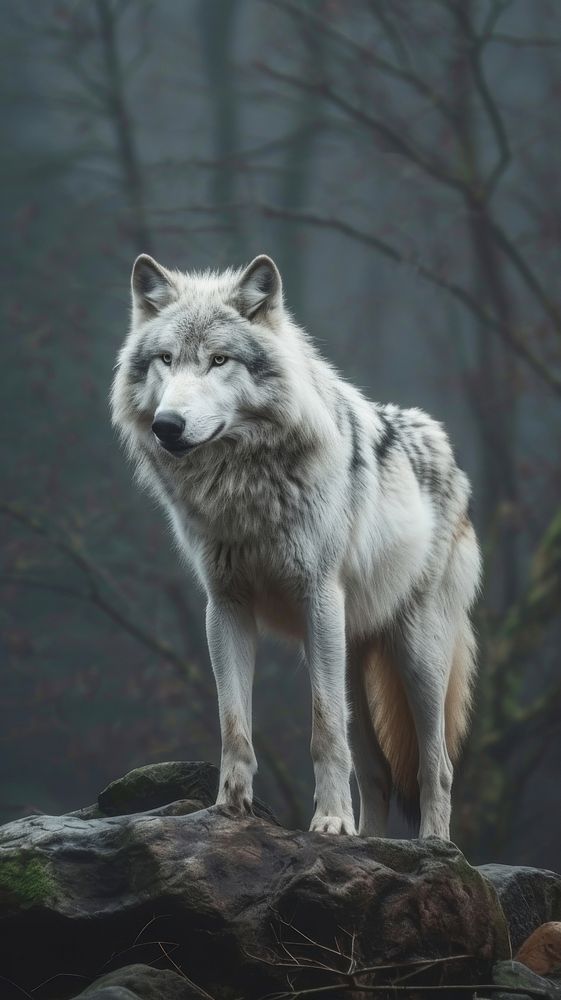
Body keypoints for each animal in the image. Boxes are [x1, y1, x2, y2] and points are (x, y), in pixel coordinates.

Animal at [111, 252, 481, 839]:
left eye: (219, 360)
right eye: (166, 360)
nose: (168, 425)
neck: (243, 488)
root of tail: (452, 458)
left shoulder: (318, 598)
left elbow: (324, 730)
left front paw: (330, 822)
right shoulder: (226, 606)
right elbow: (234, 726)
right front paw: (229, 810)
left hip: (415, 654)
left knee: (436, 766)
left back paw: (432, 847)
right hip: (351, 656)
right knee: (376, 769)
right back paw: (372, 840)